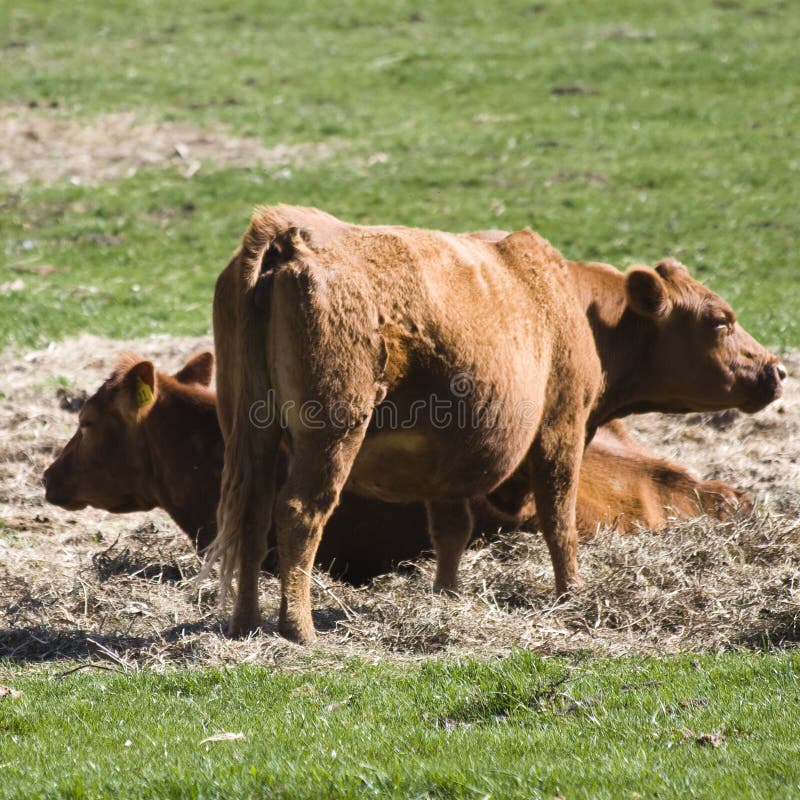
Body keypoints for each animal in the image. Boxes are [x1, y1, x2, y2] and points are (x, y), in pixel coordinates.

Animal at [208, 206, 785, 642]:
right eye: (720, 320)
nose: (776, 370)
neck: (571, 303)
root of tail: (287, 235)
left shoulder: (446, 464)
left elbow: (451, 531)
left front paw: (447, 599)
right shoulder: (560, 429)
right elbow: (559, 521)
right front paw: (572, 592)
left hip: (251, 433)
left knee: (251, 517)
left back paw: (246, 622)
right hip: (331, 432)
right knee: (300, 513)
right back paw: (298, 628)